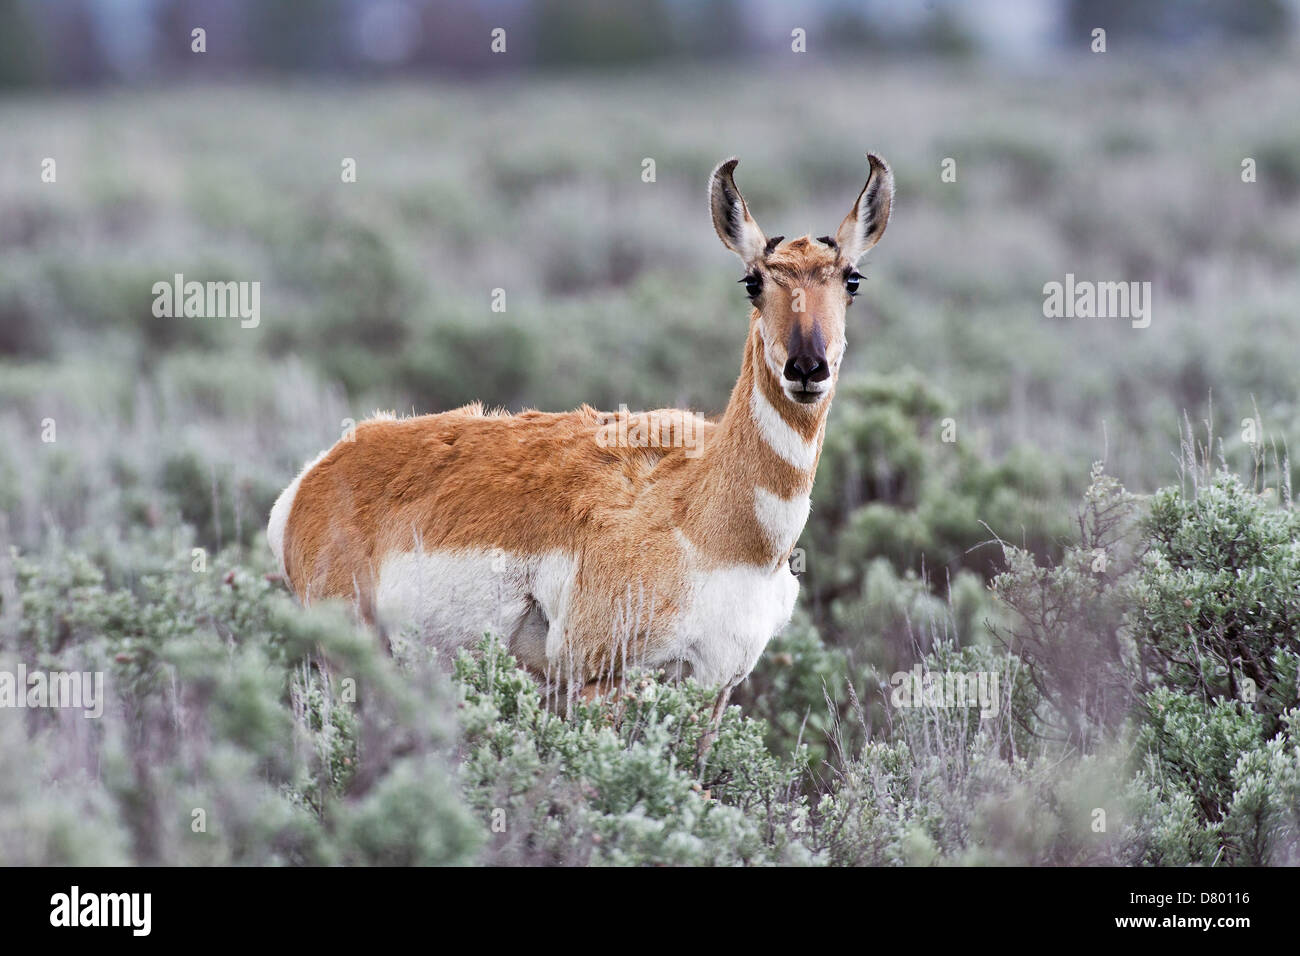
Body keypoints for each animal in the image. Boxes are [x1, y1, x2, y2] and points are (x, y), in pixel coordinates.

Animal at [268, 154, 893, 717]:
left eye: (852, 280)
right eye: (752, 281)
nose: (807, 367)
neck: (707, 517)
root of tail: (317, 473)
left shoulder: (714, 691)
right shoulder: (600, 683)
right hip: (350, 661)